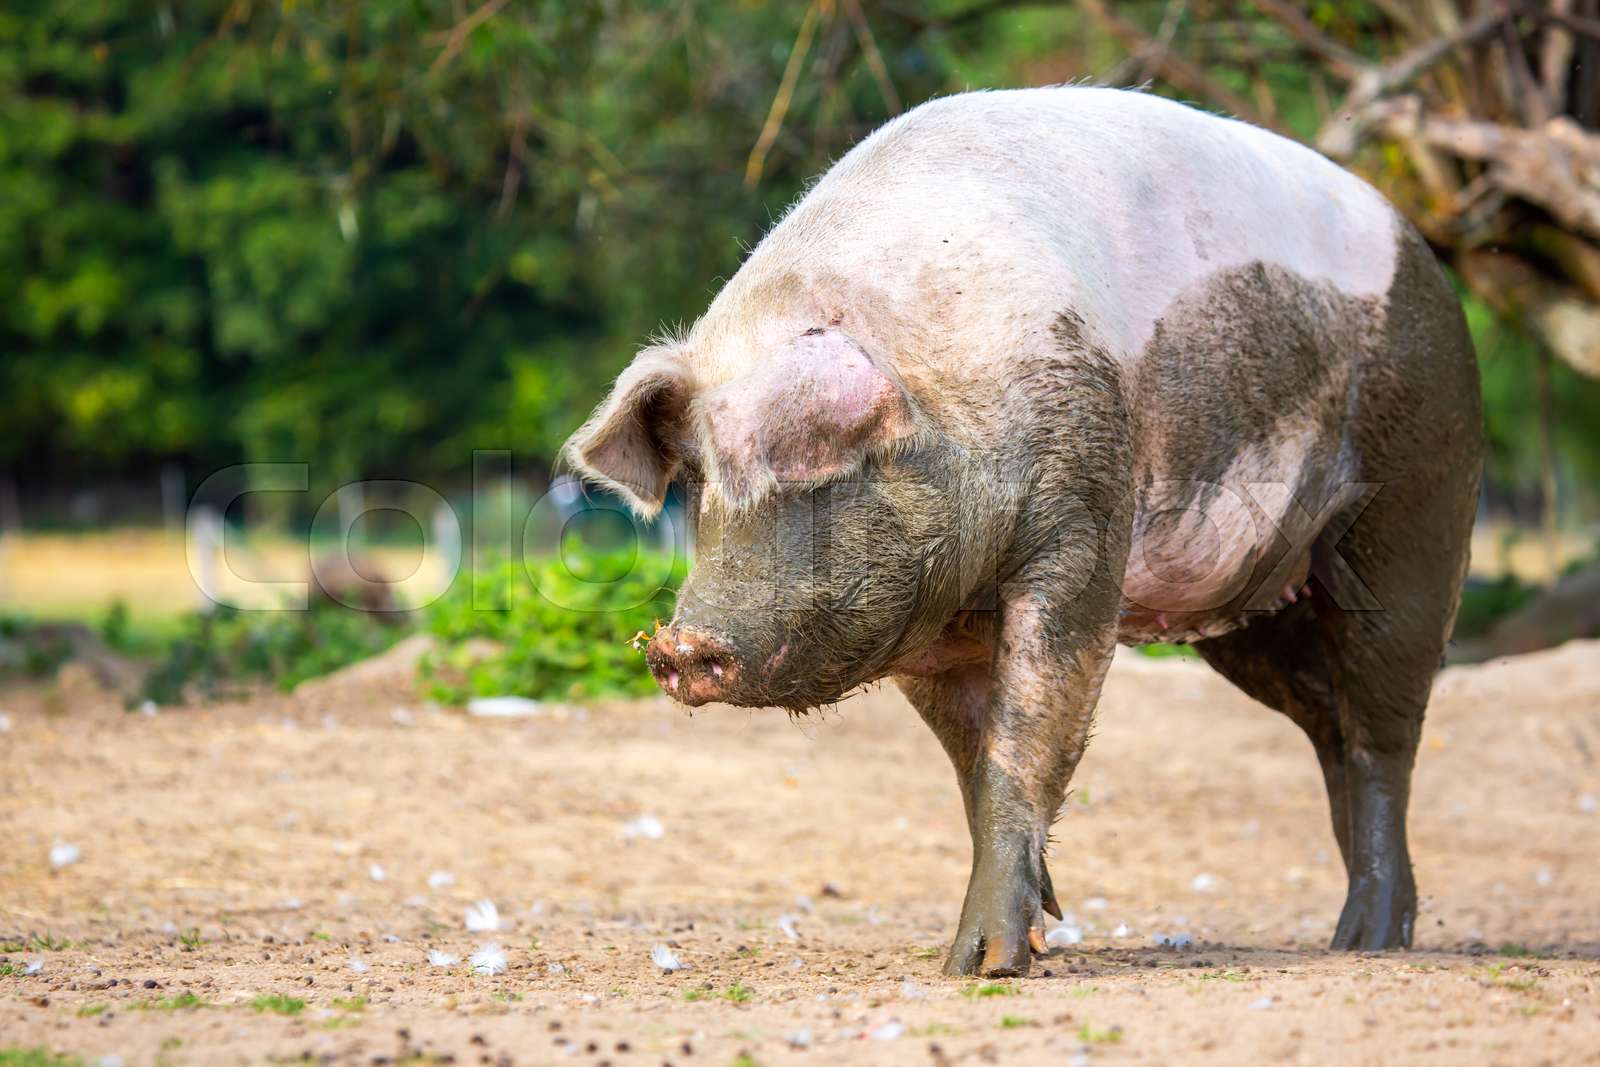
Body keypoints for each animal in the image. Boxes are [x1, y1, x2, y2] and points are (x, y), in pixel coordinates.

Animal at [565, 87, 1482, 977]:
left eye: (817, 466)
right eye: (698, 481)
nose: (680, 643)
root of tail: (1424, 253)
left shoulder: (1083, 523)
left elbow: (1029, 736)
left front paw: (982, 965)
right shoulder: (930, 637)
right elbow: (977, 769)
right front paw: (1039, 923)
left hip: (1418, 501)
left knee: (1382, 729)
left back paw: (1370, 938)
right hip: (1254, 615)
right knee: (1329, 725)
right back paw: (1347, 932)